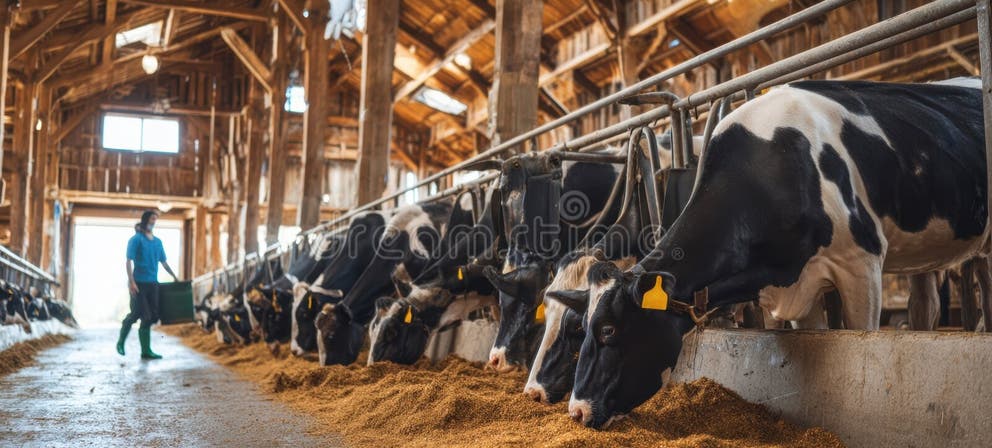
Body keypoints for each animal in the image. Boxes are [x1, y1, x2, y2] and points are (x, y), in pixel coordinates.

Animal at [553, 79, 989, 428]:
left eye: (607, 330)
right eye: (582, 327)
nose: (576, 411)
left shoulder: (860, 264)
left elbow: (863, 336)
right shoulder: (799, 284)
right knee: (927, 305)